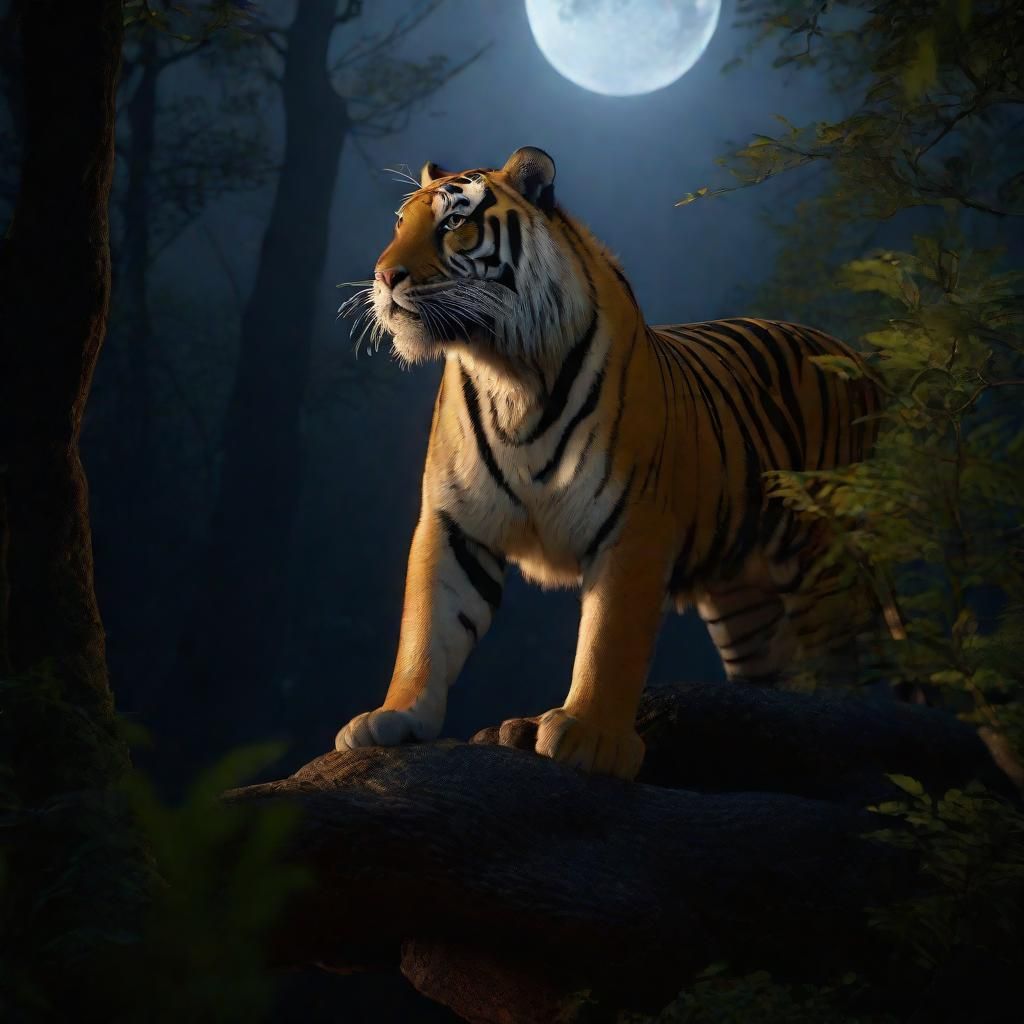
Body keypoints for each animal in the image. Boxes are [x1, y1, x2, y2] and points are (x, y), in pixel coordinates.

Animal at [335, 146, 889, 781]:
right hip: (745, 596)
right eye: (400, 225)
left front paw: (590, 736)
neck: (508, 373)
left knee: (839, 661)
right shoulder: (454, 523)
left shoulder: (633, 522)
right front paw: (394, 718)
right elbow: (428, 625)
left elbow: (609, 638)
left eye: (453, 223)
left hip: (824, 558)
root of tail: (857, 358)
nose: (384, 276)